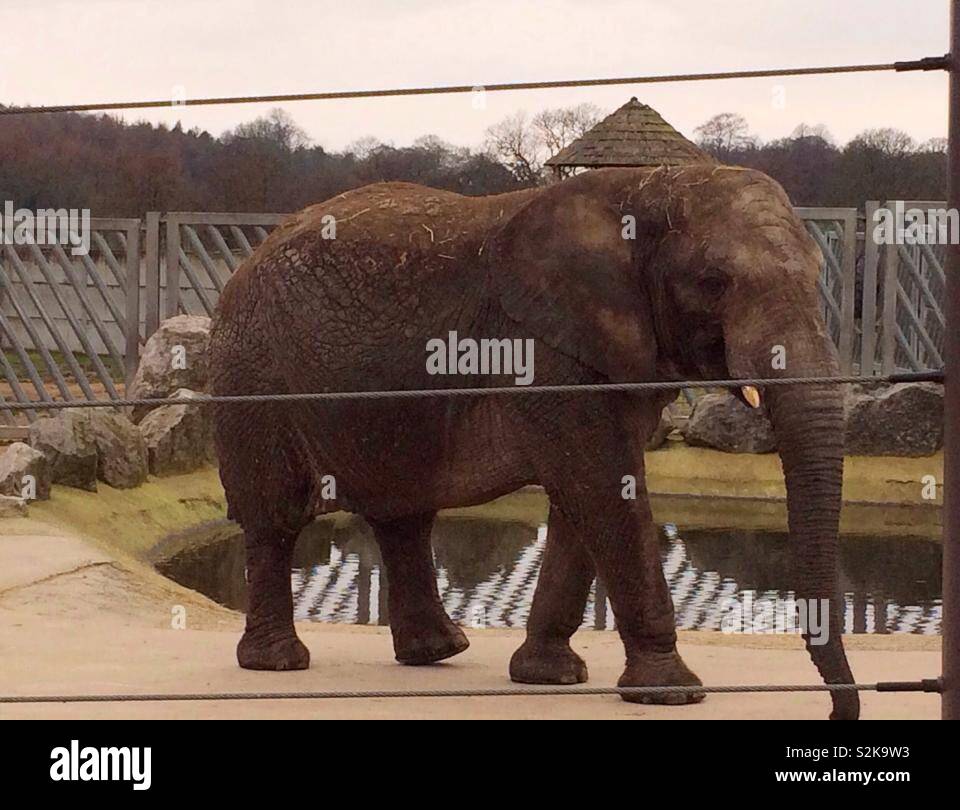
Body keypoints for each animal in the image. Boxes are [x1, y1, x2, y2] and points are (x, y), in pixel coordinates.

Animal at [208, 164, 858, 720]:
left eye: (818, 276)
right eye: (714, 282)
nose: (836, 713)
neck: (648, 186)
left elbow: (589, 496)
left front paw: (551, 677)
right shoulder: (546, 351)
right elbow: (599, 485)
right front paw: (672, 693)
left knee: (404, 515)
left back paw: (438, 652)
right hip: (253, 376)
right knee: (275, 518)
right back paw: (278, 663)